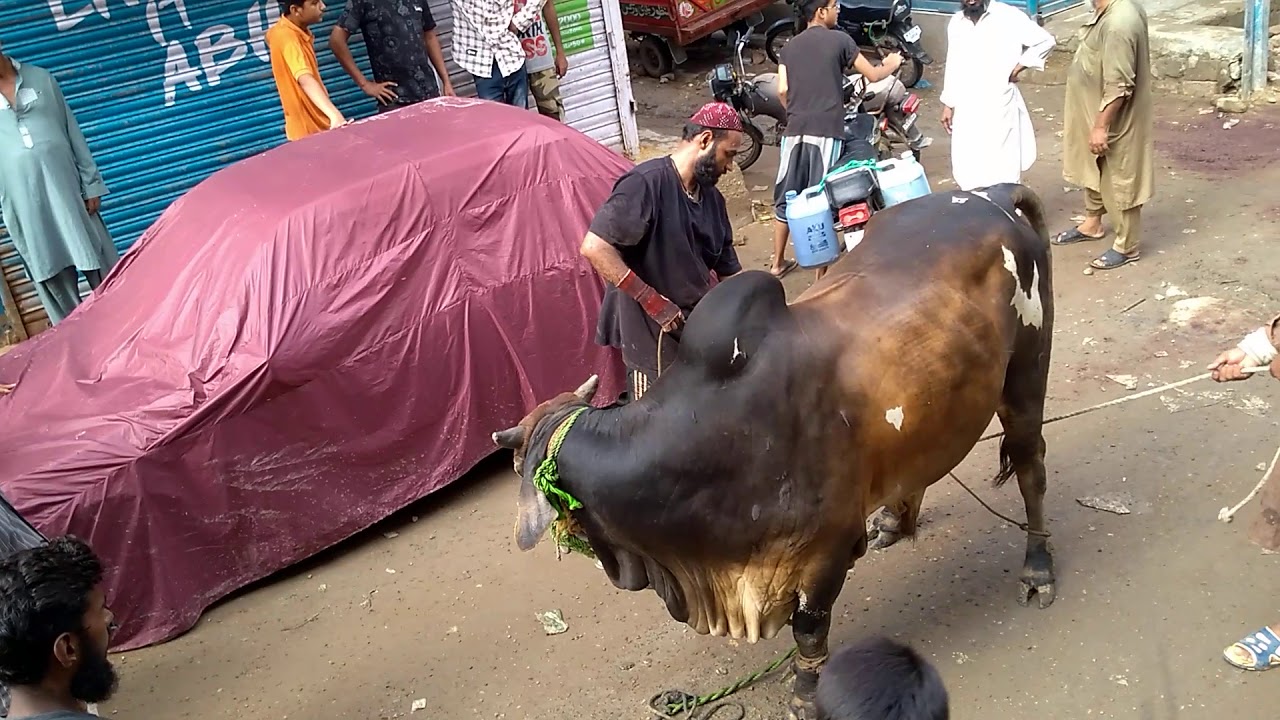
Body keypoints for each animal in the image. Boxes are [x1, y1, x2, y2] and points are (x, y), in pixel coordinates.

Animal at [492, 183, 1055, 720]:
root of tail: (994, 195)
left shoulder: (825, 550)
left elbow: (808, 629)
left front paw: (806, 695)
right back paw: (895, 521)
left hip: (1026, 378)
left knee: (1031, 468)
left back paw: (1037, 568)